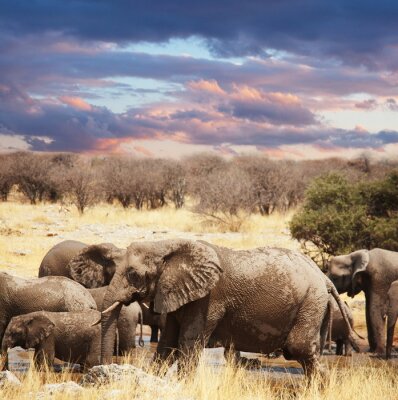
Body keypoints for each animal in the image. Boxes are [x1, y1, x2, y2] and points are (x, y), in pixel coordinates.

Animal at [97, 239, 358, 380]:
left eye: (133, 274)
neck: (168, 246)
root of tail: (325, 279)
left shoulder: (208, 299)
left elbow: (188, 344)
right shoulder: (174, 292)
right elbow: (167, 345)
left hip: (310, 302)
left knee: (299, 348)